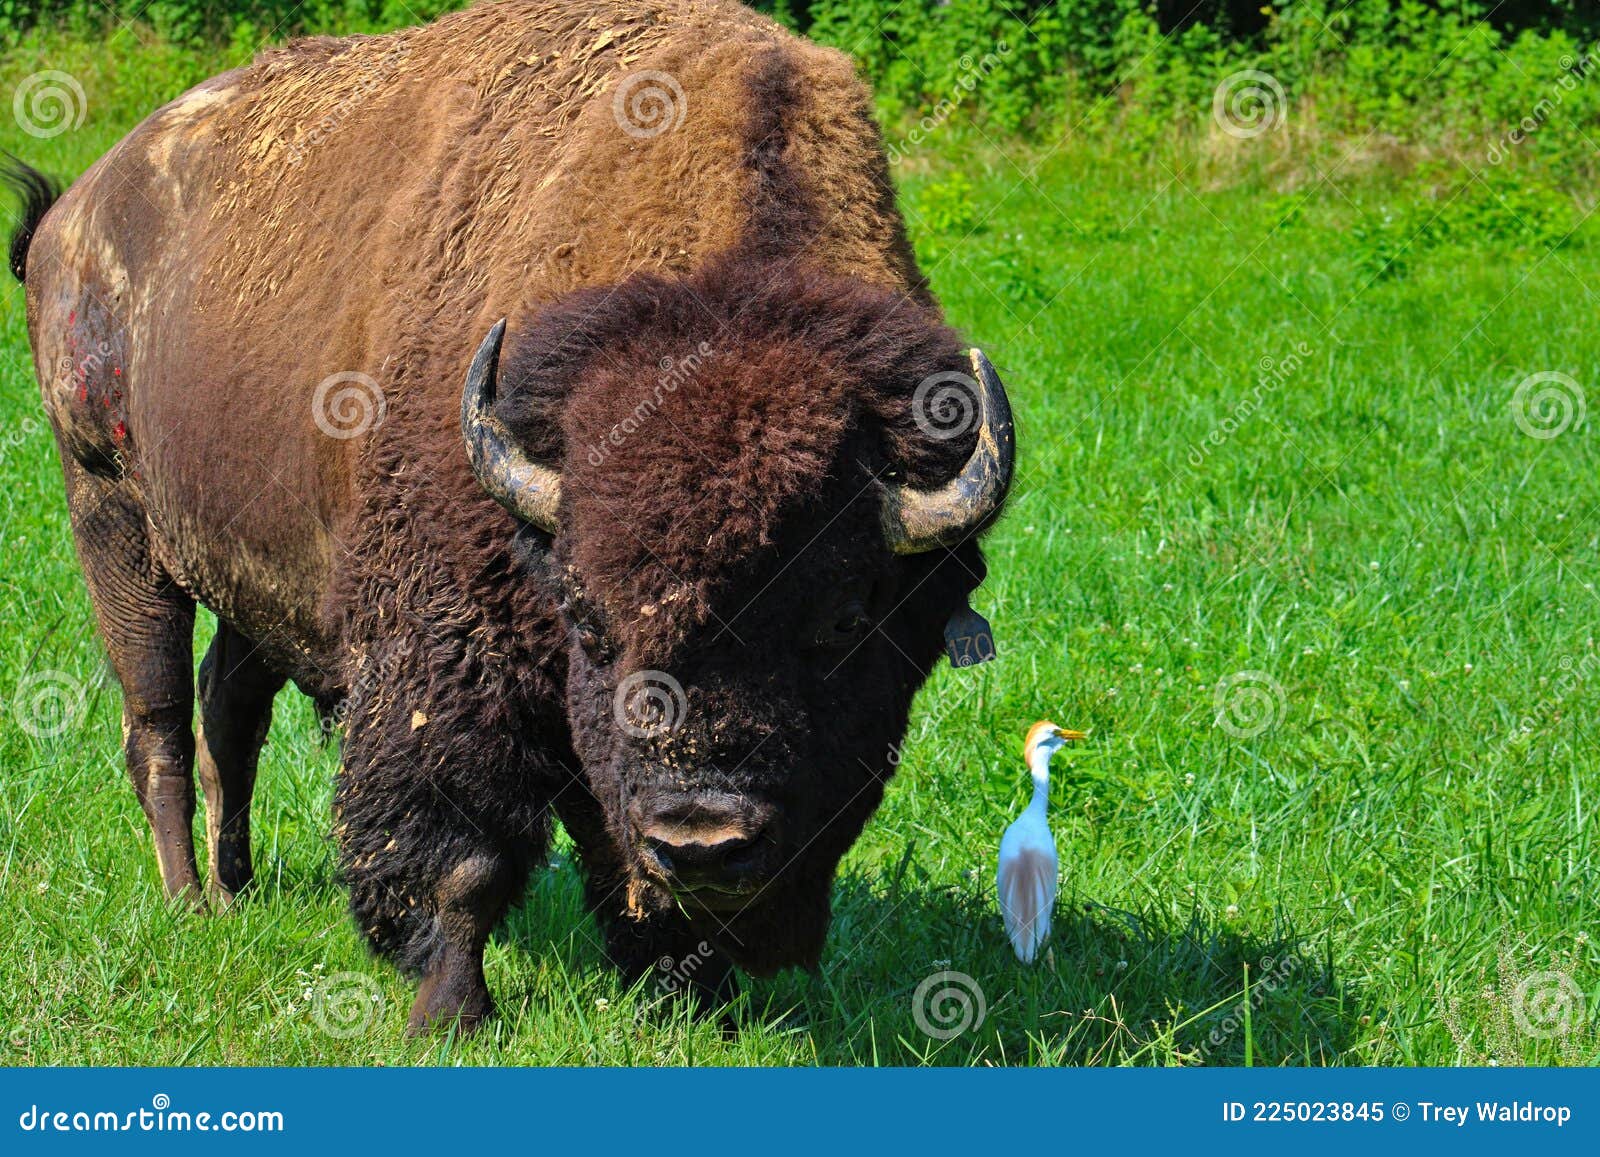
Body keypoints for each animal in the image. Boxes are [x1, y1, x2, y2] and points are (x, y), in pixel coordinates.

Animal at [9, 0, 1013, 1033]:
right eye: (588, 617)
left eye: (850, 621)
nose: (703, 838)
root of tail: (76, 210)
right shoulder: (449, 651)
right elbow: (468, 856)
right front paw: (450, 1011)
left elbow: (607, 836)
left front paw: (690, 998)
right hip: (111, 513)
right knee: (158, 719)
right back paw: (189, 903)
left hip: (254, 567)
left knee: (229, 705)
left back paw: (238, 884)